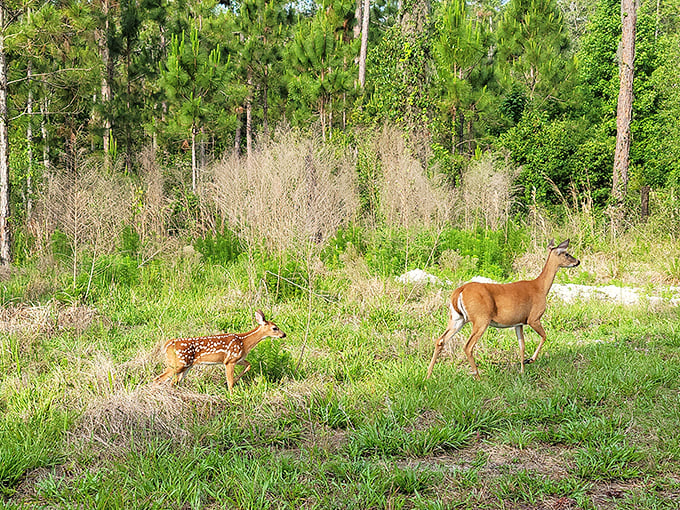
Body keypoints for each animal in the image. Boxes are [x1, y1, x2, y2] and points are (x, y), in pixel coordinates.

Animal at [154, 310, 286, 390]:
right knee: (158, 379)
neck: (244, 342)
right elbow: (230, 381)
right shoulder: (230, 360)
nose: (284, 334)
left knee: (175, 382)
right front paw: (231, 394)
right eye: (275, 328)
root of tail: (167, 345)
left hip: (186, 366)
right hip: (178, 363)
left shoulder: (238, 359)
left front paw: (229, 382)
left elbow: (248, 365)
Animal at [426, 239, 580, 380]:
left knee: (441, 340)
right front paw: (530, 360)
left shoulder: (518, 323)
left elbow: (522, 345)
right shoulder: (533, 318)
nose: (577, 261)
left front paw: (522, 371)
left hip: (457, 318)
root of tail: (459, 291)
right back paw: (478, 377)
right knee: (468, 346)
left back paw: (428, 375)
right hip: (481, 319)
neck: (540, 287)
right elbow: (544, 336)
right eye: (566, 253)